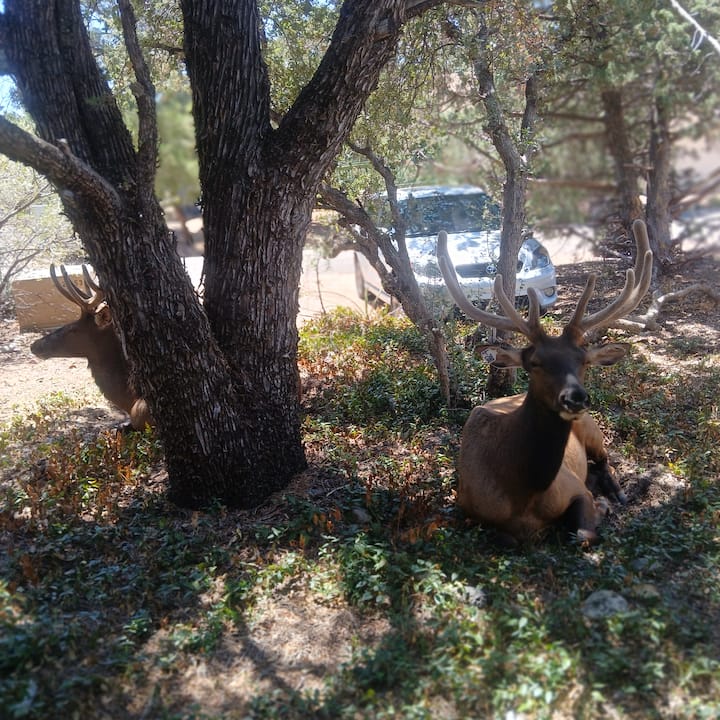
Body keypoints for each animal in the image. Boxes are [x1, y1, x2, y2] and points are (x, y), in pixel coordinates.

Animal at [437, 219, 653, 544]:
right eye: (535, 363)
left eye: (584, 361)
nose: (575, 398)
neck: (524, 495)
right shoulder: (473, 510)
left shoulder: (574, 487)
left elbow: (582, 532)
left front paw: (603, 505)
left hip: (593, 430)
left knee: (605, 460)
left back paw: (619, 493)